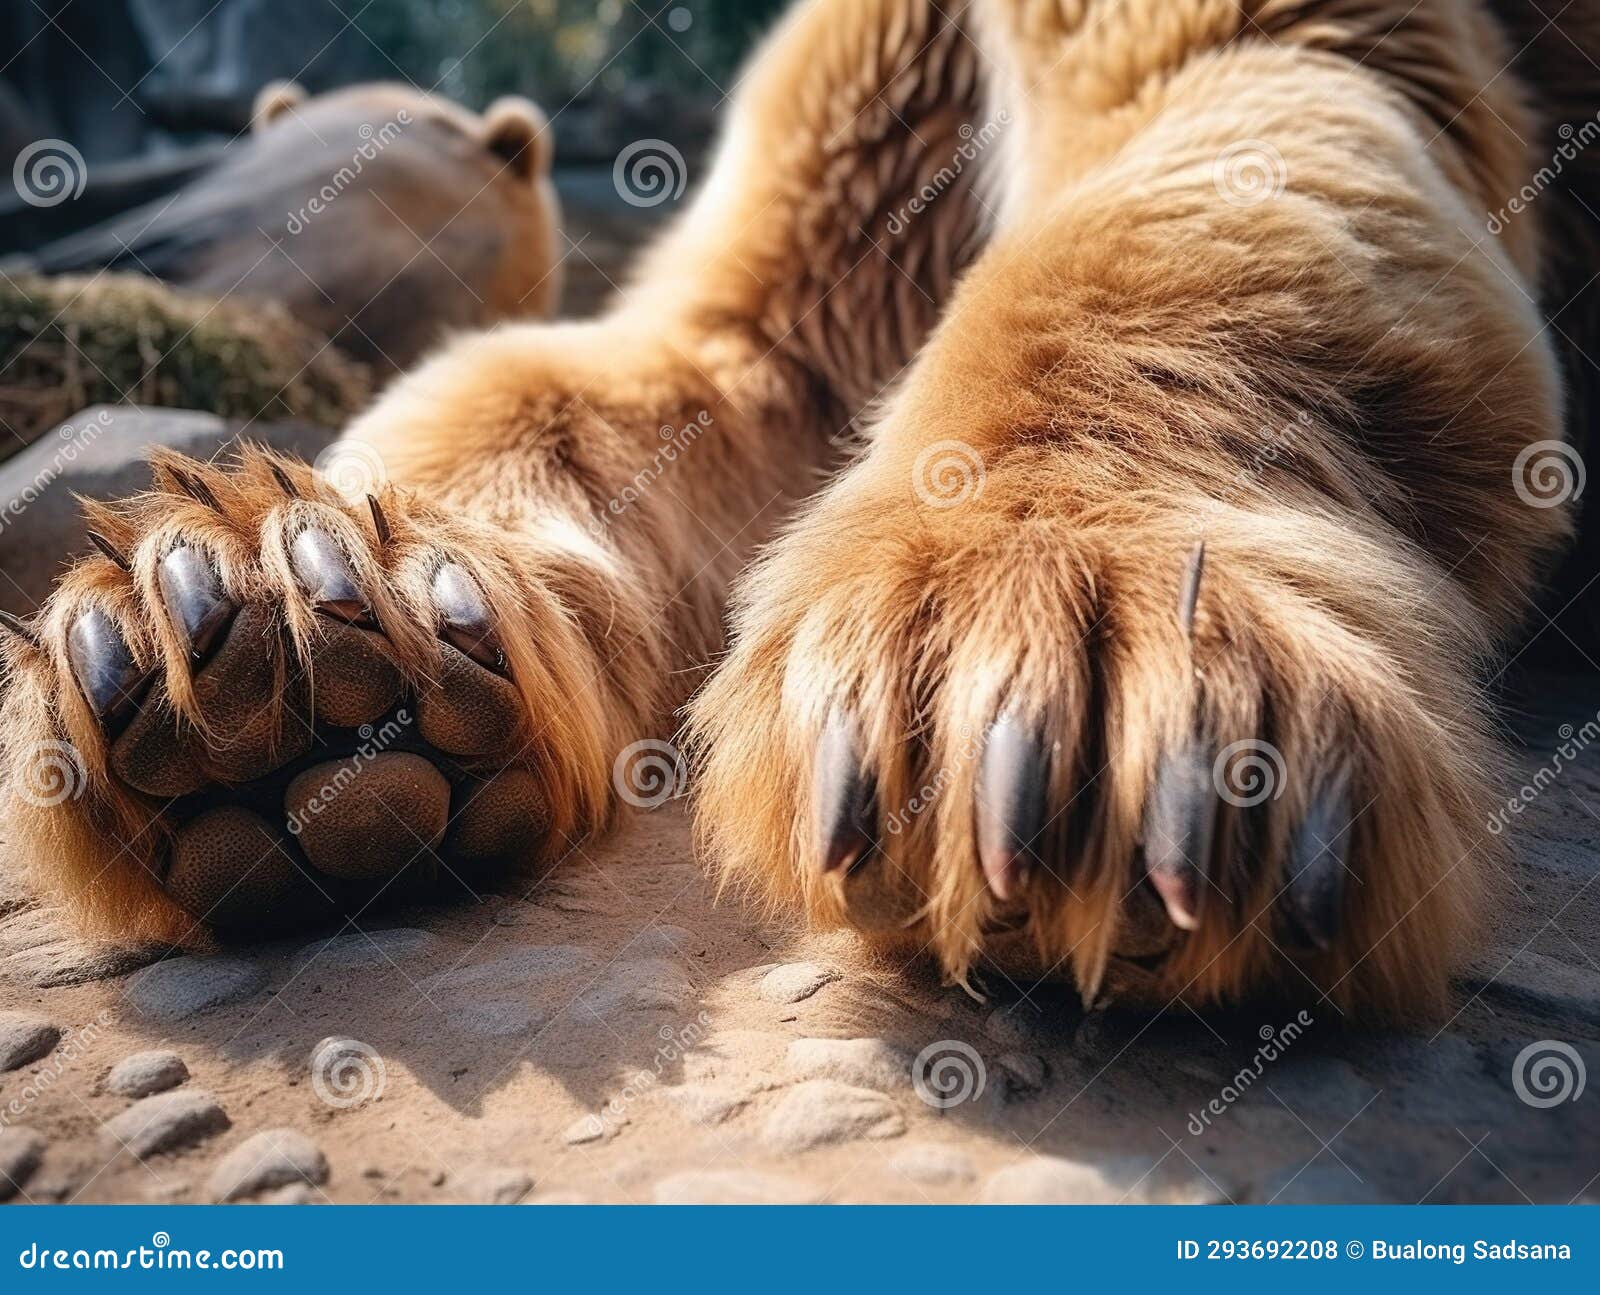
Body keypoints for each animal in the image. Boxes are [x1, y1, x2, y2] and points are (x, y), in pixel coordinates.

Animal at [1, 0, 1594, 1023]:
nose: (153, 231)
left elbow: (1244, 122)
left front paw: (1058, 686)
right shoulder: (871, 128)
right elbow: (699, 361)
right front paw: (264, 623)